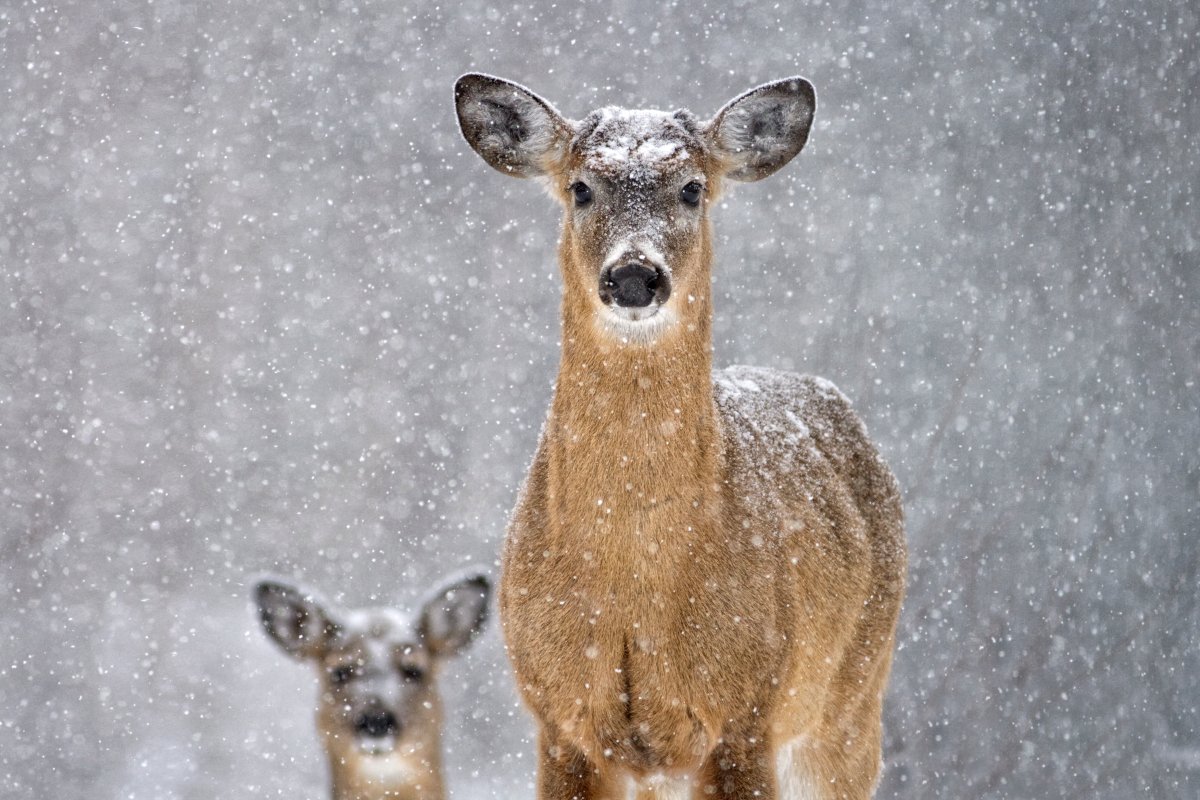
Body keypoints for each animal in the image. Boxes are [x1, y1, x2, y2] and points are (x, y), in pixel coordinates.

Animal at [453, 73, 907, 800]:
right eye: (581, 187)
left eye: (692, 187)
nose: (635, 275)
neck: (634, 583)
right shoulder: (558, 716)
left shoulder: (748, 709)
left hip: (852, 702)